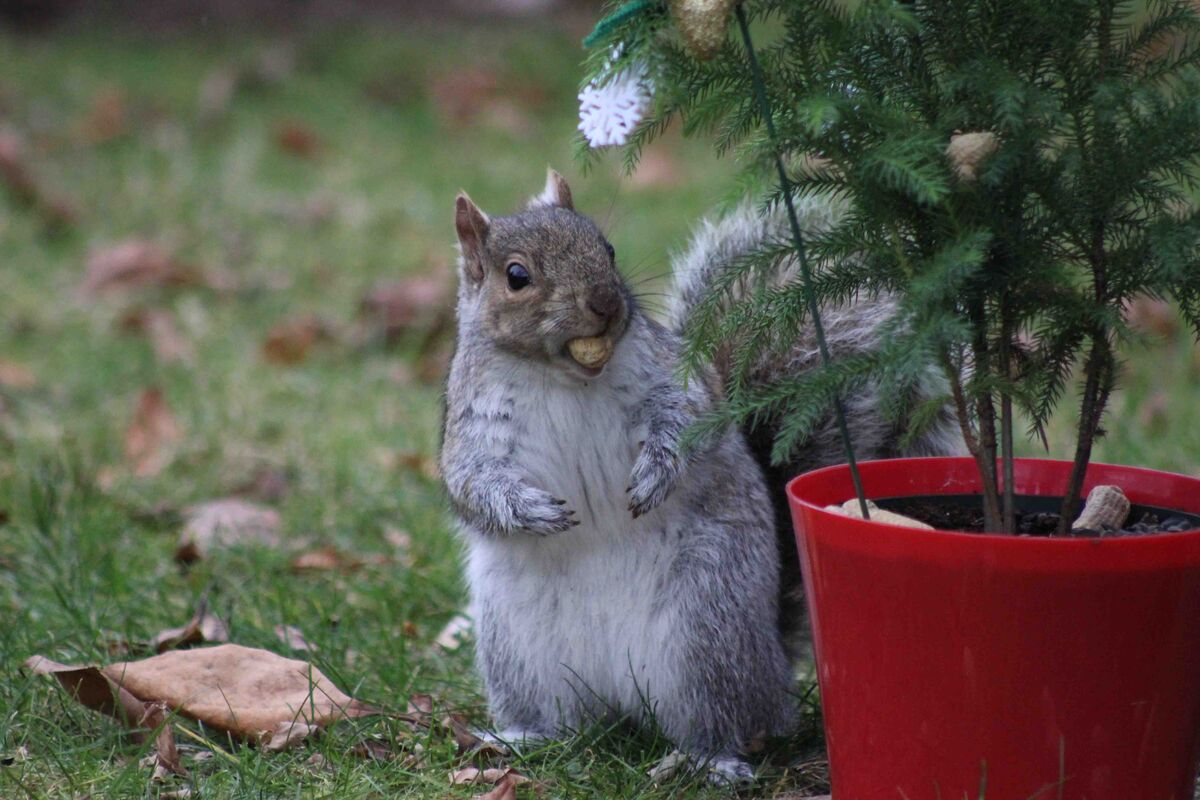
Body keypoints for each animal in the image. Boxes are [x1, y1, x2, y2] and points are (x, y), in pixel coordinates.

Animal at [439, 169, 963, 782]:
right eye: (516, 277)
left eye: (608, 249)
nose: (604, 303)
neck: (563, 375)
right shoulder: (472, 425)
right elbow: (471, 482)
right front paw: (529, 510)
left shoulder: (673, 380)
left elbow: (686, 421)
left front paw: (655, 474)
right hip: (520, 649)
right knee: (564, 717)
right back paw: (528, 738)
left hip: (705, 629)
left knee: (722, 719)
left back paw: (708, 762)